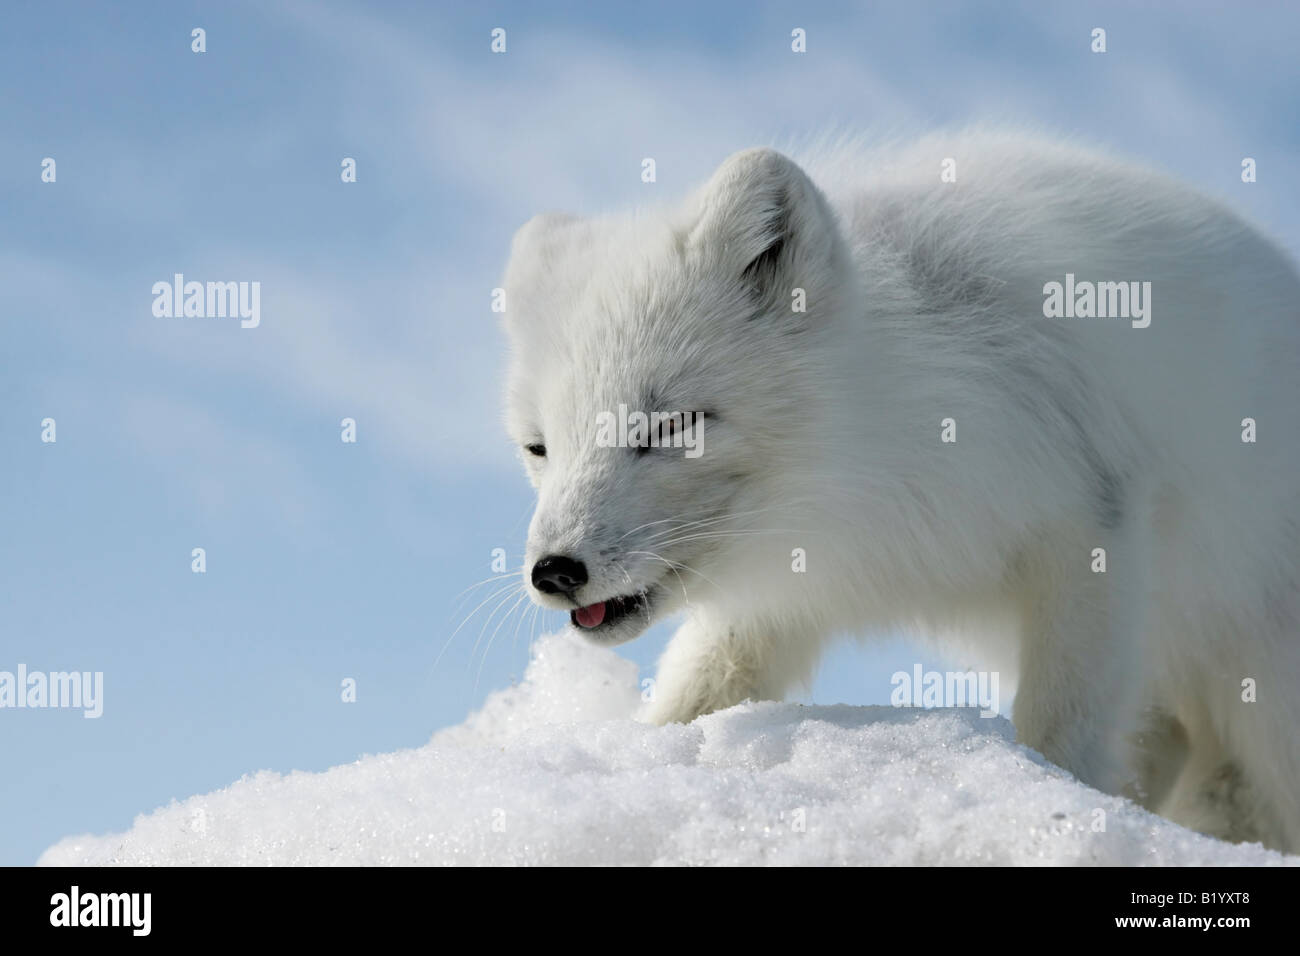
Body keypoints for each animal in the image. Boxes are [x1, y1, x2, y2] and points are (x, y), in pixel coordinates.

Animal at [498, 130, 1300, 853]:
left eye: (670, 427)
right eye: (539, 448)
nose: (554, 573)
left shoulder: (1090, 523)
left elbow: (1062, 726)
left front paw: (1057, 803)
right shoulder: (783, 595)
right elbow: (696, 690)